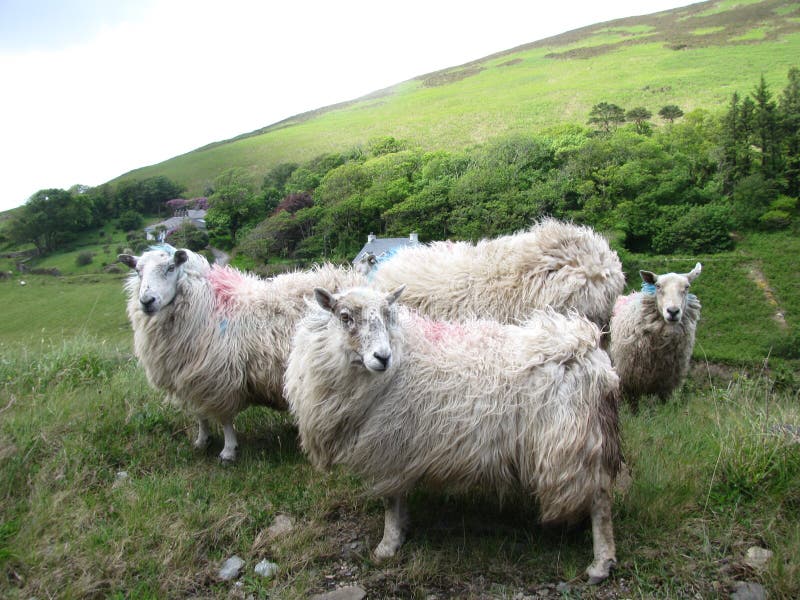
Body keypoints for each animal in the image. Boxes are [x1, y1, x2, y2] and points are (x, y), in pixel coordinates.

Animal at [118, 245, 364, 461]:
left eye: (170, 268)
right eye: (138, 271)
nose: (147, 301)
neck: (206, 308)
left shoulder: (218, 378)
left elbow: (225, 419)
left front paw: (228, 451)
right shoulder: (191, 377)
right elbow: (200, 415)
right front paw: (202, 441)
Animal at [285, 285, 622, 583]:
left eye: (387, 315)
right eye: (345, 317)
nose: (382, 357)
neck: (404, 354)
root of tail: (589, 350)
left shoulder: (388, 445)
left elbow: (390, 500)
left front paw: (387, 545)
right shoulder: (398, 449)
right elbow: (398, 496)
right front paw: (402, 530)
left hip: (569, 439)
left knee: (601, 499)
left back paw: (601, 562)